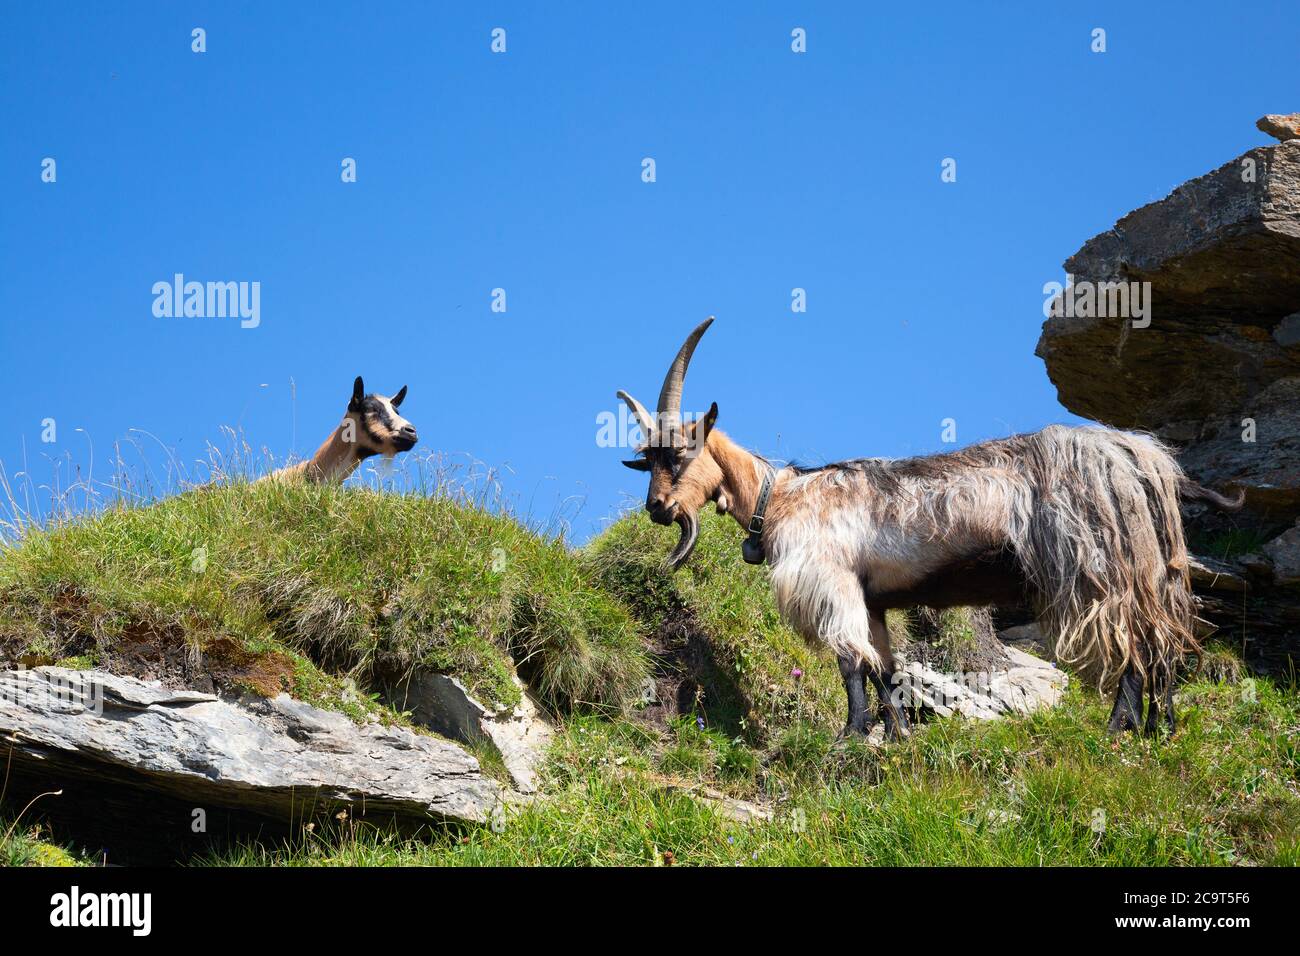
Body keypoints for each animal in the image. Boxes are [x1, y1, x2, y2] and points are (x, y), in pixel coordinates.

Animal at [616, 319, 1243, 740]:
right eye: (646, 461)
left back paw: (1119, 725)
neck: (782, 496)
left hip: (1098, 564)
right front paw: (896, 734)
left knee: (1130, 638)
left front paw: (849, 736)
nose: (657, 509)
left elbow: (850, 663)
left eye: (679, 452)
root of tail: (1142, 458)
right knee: (1160, 639)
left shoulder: (831, 581)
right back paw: (1160, 725)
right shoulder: (870, 598)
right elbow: (882, 667)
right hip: (1143, 567)